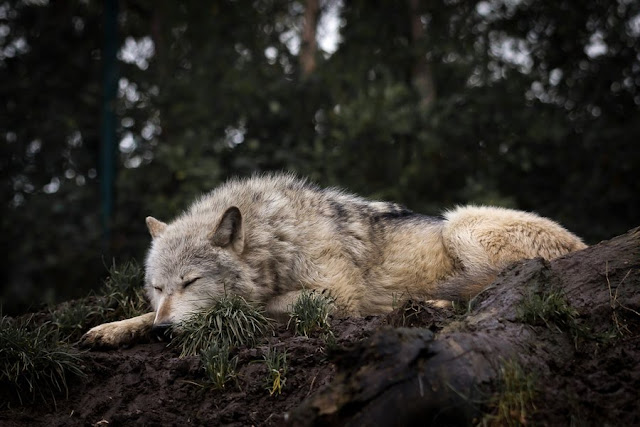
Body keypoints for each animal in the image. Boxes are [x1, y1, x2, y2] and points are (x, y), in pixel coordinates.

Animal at [81, 173, 586, 348]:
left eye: (191, 281)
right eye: (158, 288)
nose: (165, 332)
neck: (277, 239)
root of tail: (581, 244)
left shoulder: (337, 296)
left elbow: (251, 307)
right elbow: (140, 317)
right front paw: (114, 329)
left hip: (461, 222)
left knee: (486, 285)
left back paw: (430, 305)